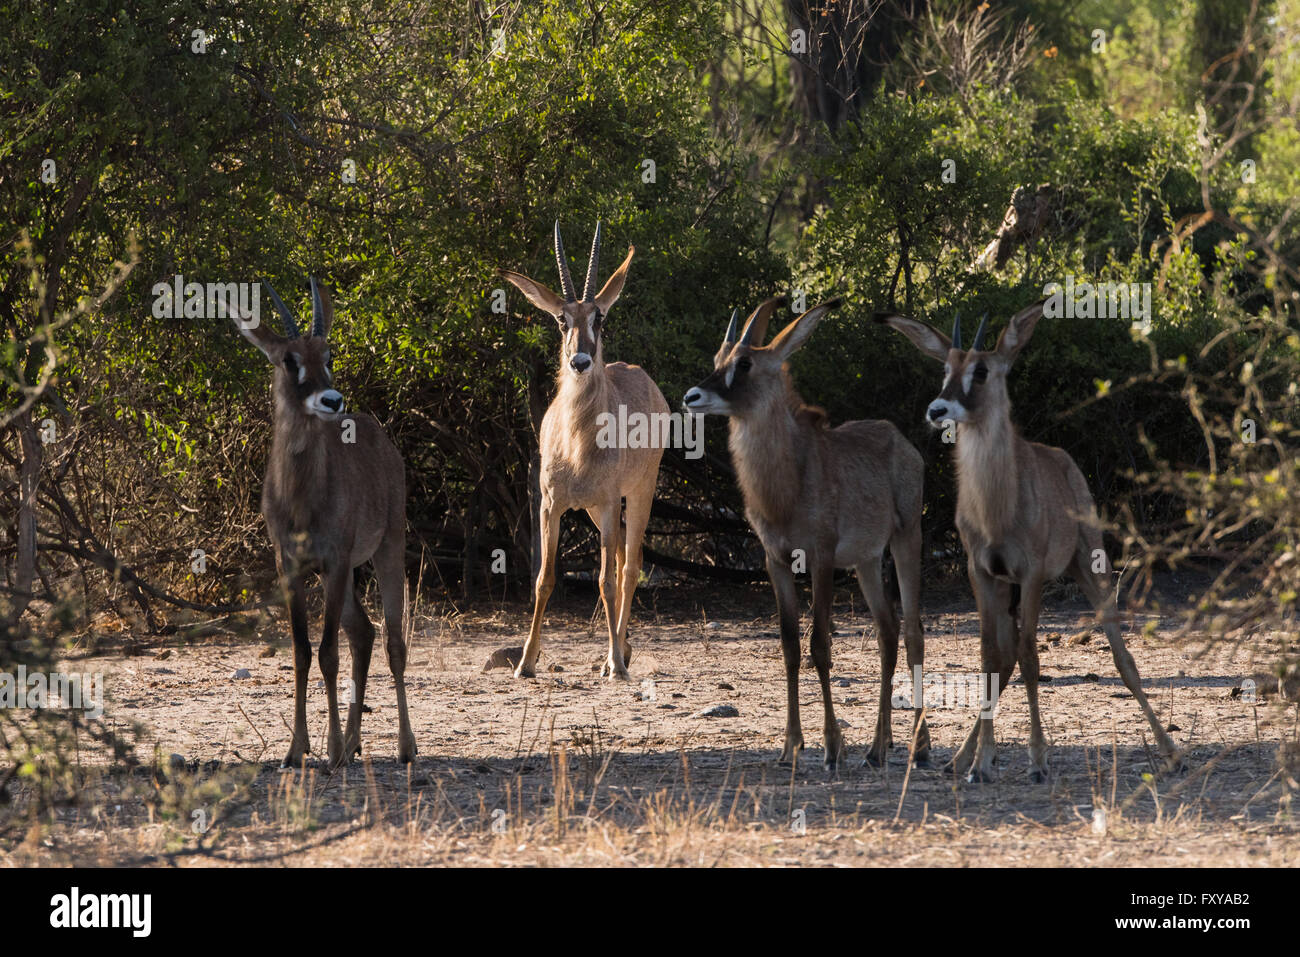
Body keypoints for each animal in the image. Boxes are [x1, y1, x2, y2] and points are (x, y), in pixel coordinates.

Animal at [230, 277, 414, 769]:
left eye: (328, 355)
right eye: (288, 359)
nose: (332, 400)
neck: (300, 495)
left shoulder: (334, 560)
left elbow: (328, 652)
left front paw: (327, 750)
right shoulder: (289, 565)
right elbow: (301, 651)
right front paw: (297, 749)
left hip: (386, 549)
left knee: (392, 642)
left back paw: (404, 746)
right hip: (348, 573)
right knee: (363, 633)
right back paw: (354, 744)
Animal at [500, 222, 668, 680]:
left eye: (600, 317)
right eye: (562, 319)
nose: (579, 361)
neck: (576, 443)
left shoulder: (610, 503)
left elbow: (605, 581)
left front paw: (616, 664)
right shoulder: (551, 505)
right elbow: (543, 579)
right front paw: (525, 663)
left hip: (638, 493)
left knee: (629, 566)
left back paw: (617, 659)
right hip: (593, 509)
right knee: (622, 556)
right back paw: (618, 651)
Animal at [683, 298, 929, 770]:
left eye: (744, 363)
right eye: (718, 359)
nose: (692, 397)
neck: (787, 482)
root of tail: (901, 441)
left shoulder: (820, 557)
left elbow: (820, 646)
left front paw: (832, 746)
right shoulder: (775, 561)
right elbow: (790, 647)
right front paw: (790, 746)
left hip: (907, 538)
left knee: (912, 632)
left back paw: (919, 745)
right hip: (867, 561)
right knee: (888, 632)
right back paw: (877, 747)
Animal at [876, 303, 1180, 781]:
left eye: (982, 370)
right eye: (946, 367)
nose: (937, 409)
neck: (998, 502)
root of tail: (1064, 460)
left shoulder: (1033, 573)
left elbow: (1033, 658)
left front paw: (1037, 760)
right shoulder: (982, 572)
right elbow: (989, 657)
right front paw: (981, 762)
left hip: (1087, 565)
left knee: (1120, 655)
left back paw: (1171, 752)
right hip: (1009, 590)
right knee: (1005, 659)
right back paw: (961, 758)